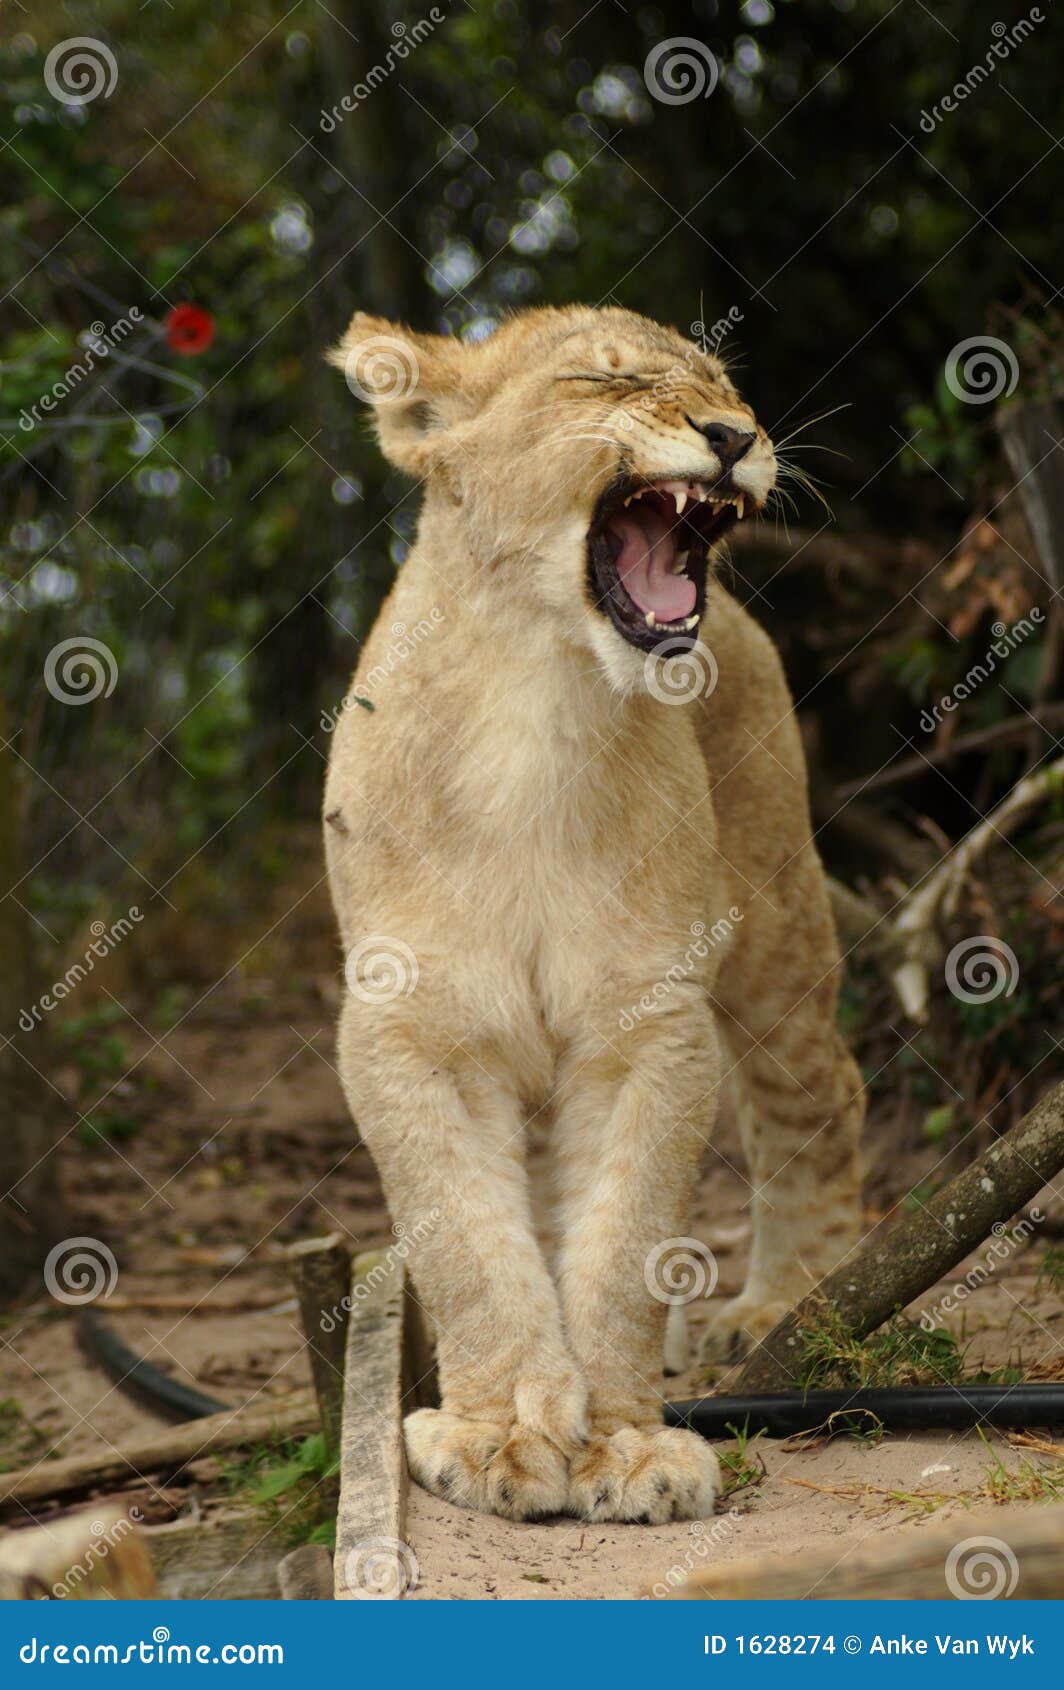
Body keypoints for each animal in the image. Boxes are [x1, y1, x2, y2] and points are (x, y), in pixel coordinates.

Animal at [323, 305, 864, 1526]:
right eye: (604, 380)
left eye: (724, 385)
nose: (734, 435)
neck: (537, 705)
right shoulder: (407, 1030)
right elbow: (470, 1245)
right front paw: (498, 1436)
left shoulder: (643, 1023)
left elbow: (622, 1246)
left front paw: (624, 1442)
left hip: (773, 927)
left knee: (821, 1095)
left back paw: (781, 1304)